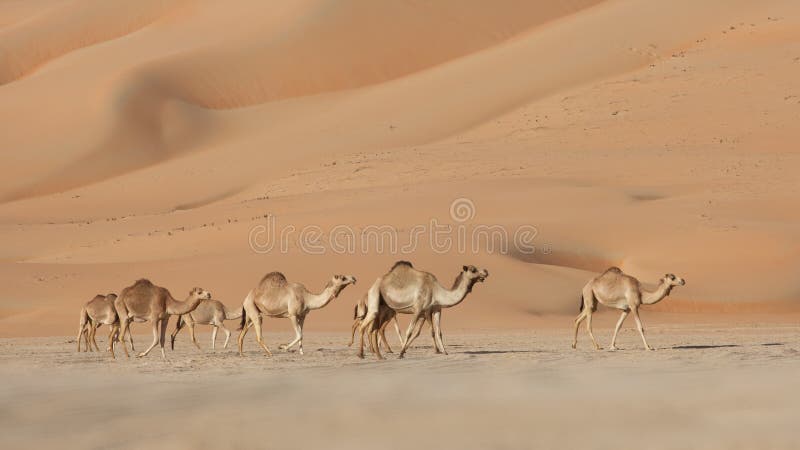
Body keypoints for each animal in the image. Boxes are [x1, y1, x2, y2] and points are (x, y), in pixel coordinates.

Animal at [357, 261, 488, 360]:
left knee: (374, 329)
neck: (436, 291)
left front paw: (444, 352)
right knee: (364, 326)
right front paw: (401, 353)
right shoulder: (418, 309)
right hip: (375, 298)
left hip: (385, 309)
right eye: (473, 270)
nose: (486, 271)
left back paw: (379, 355)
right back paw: (361, 354)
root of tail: (372, 286)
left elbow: (438, 332)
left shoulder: (435, 310)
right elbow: (409, 331)